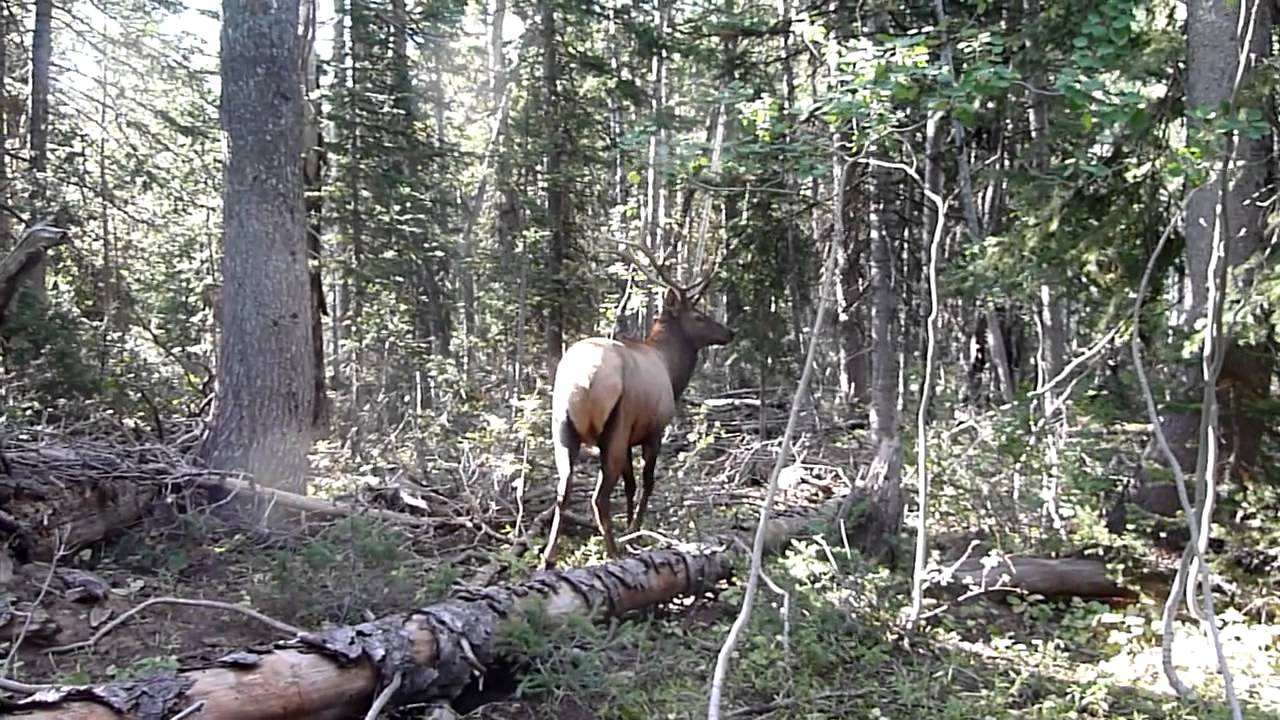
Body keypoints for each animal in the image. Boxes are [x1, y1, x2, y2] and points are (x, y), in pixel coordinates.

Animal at [538, 247, 735, 570]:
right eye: (698, 316)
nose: (729, 332)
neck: (671, 369)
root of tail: (583, 381)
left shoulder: (630, 436)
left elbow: (630, 485)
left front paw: (630, 528)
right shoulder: (653, 430)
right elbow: (647, 482)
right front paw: (635, 530)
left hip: (563, 429)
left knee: (562, 491)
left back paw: (548, 559)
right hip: (614, 428)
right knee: (599, 497)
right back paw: (613, 553)